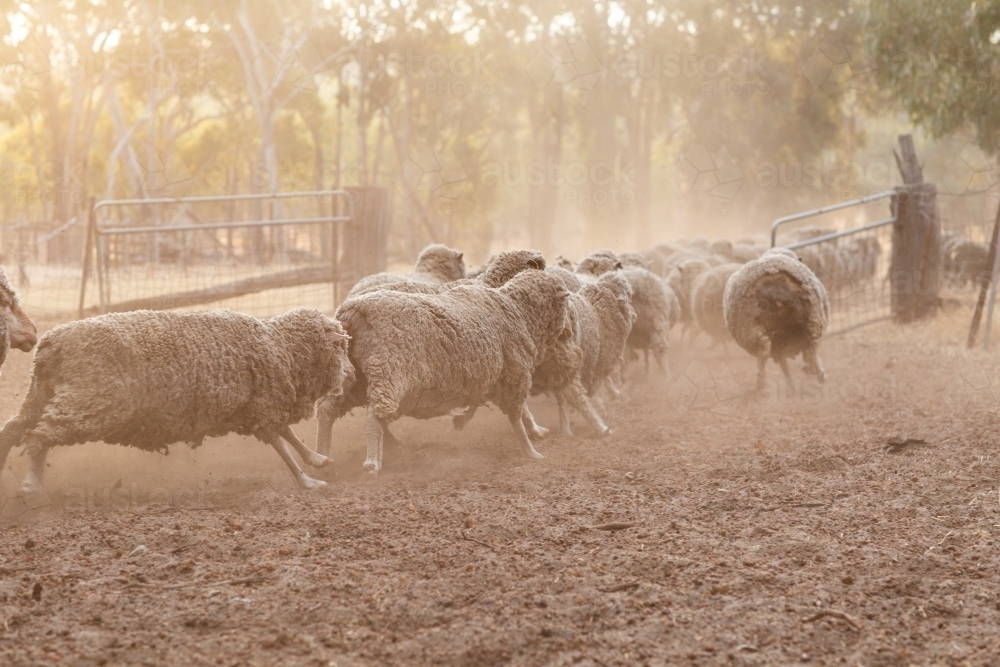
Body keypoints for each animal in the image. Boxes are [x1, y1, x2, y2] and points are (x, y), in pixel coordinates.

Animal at [0, 308, 354, 493]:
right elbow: (281, 444)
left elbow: (287, 436)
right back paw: (31, 484)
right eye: (340, 347)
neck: (281, 348)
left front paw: (316, 460)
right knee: (38, 437)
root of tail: (51, 343)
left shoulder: (259, 406)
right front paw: (307, 480)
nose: (352, 375)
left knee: (13, 429)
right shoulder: (264, 405)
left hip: (44, 395)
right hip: (88, 402)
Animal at [321, 269, 571, 473]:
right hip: (389, 370)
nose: (569, 332)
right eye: (565, 304)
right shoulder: (514, 374)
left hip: (355, 377)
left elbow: (477, 403)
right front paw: (530, 450)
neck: (518, 311)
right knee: (374, 416)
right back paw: (372, 462)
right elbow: (516, 417)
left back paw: (322, 457)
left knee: (329, 411)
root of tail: (350, 311)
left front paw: (461, 420)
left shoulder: (483, 376)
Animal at [724, 248, 829, 393]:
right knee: (810, 353)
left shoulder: (780, 346)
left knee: (765, 351)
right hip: (814, 321)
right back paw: (820, 375)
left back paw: (762, 382)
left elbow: (784, 365)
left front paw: (791, 388)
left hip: (750, 329)